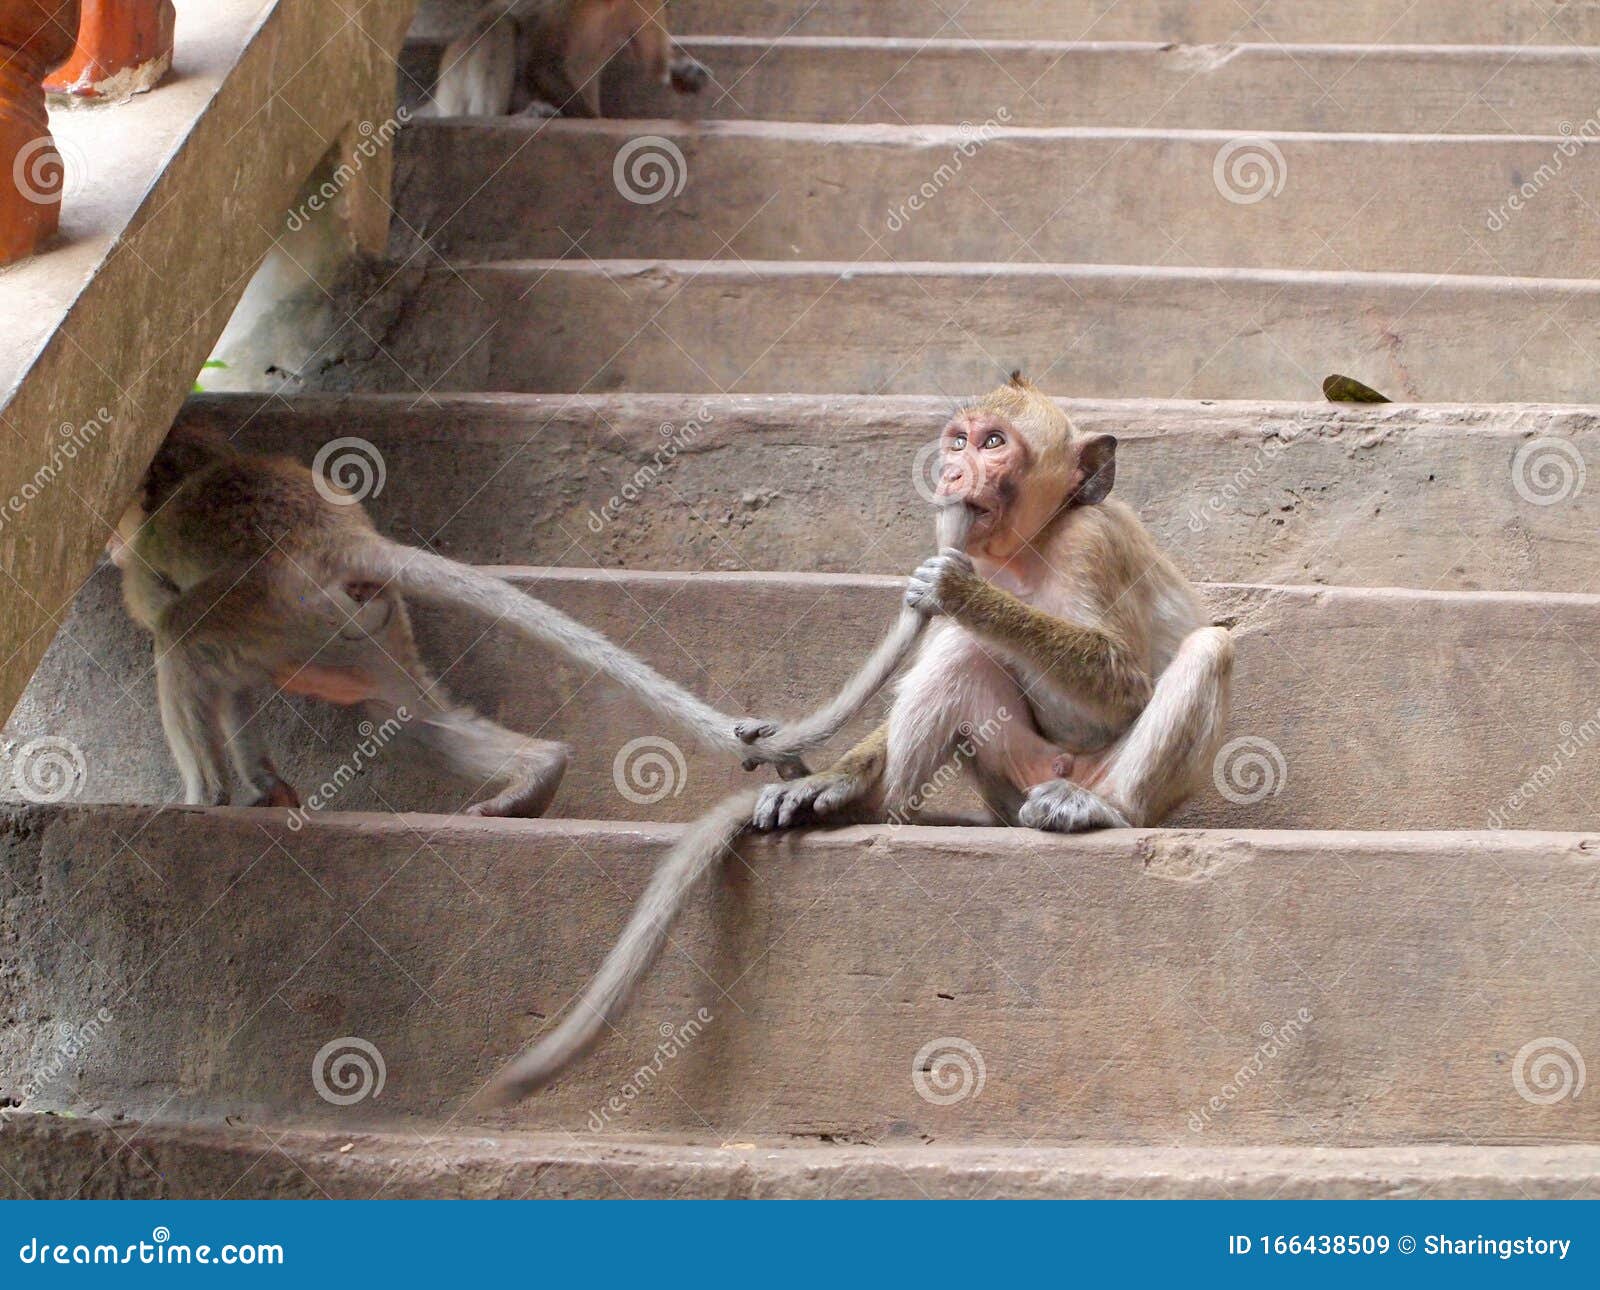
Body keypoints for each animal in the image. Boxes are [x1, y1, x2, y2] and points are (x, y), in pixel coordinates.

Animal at [108, 425, 808, 813]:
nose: (113, 540)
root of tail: (338, 538)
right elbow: (240, 691)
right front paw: (261, 790)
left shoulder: (152, 567)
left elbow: (170, 624)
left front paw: (235, 794)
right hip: (362, 625)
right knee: (404, 718)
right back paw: (537, 774)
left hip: (278, 601)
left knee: (178, 636)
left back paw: (202, 800)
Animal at [426, 0, 709, 119]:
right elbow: (541, 62)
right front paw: (594, 120)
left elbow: (652, 60)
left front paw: (684, 73)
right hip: (454, 81)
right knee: (497, 23)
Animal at [477, 376, 1234, 1103]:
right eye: (957, 441)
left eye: (993, 443)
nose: (950, 475)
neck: (1029, 551)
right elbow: (947, 649)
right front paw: (830, 779)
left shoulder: (1093, 544)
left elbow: (1124, 681)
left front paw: (960, 593)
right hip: (1006, 777)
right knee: (959, 655)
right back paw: (864, 807)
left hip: (1101, 778)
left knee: (1205, 651)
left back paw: (1100, 809)